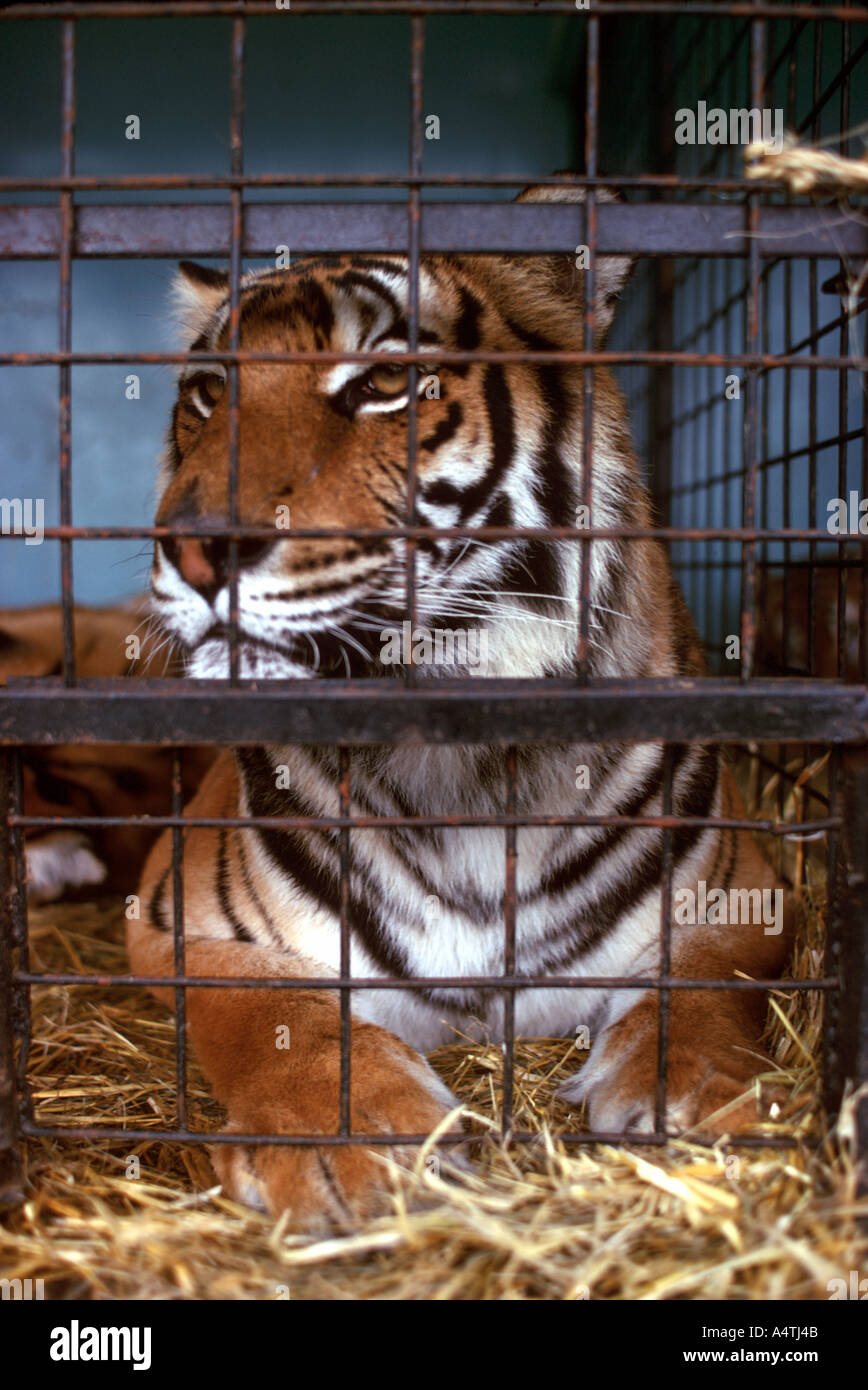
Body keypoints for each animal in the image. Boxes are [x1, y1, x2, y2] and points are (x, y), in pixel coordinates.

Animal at [130, 185, 789, 1228]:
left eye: (381, 383)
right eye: (207, 393)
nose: (191, 546)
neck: (460, 766)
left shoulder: (749, 893)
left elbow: (705, 985)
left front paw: (695, 1098)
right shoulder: (175, 914)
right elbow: (274, 1011)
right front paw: (351, 1150)